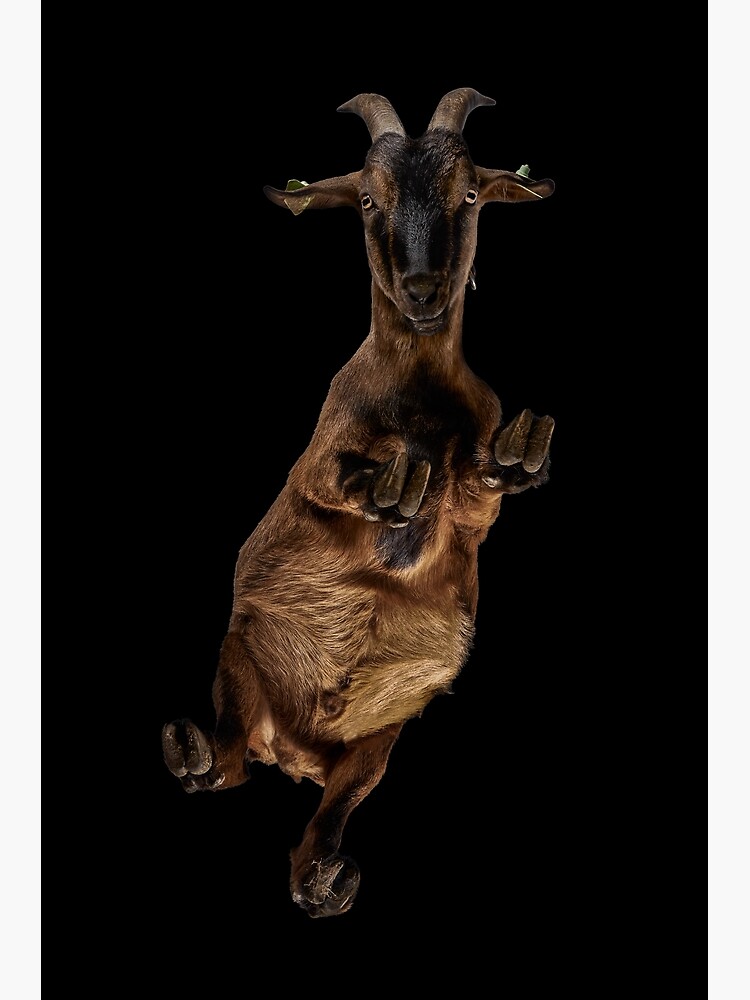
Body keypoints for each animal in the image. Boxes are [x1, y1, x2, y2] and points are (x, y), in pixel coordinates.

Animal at [162, 87, 555, 918]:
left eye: (470, 194)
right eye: (368, 199)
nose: (423, 291)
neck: (420, 407)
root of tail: (295, 750)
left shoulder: (472, 517)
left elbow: (479, 495)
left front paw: (517, 452)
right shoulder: (319, 450)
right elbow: (331, 480)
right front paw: (388, 487)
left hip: (377, 747)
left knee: (327, 814)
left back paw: (324, 881)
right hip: (239, 659)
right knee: (230, 760)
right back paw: (194, 755)